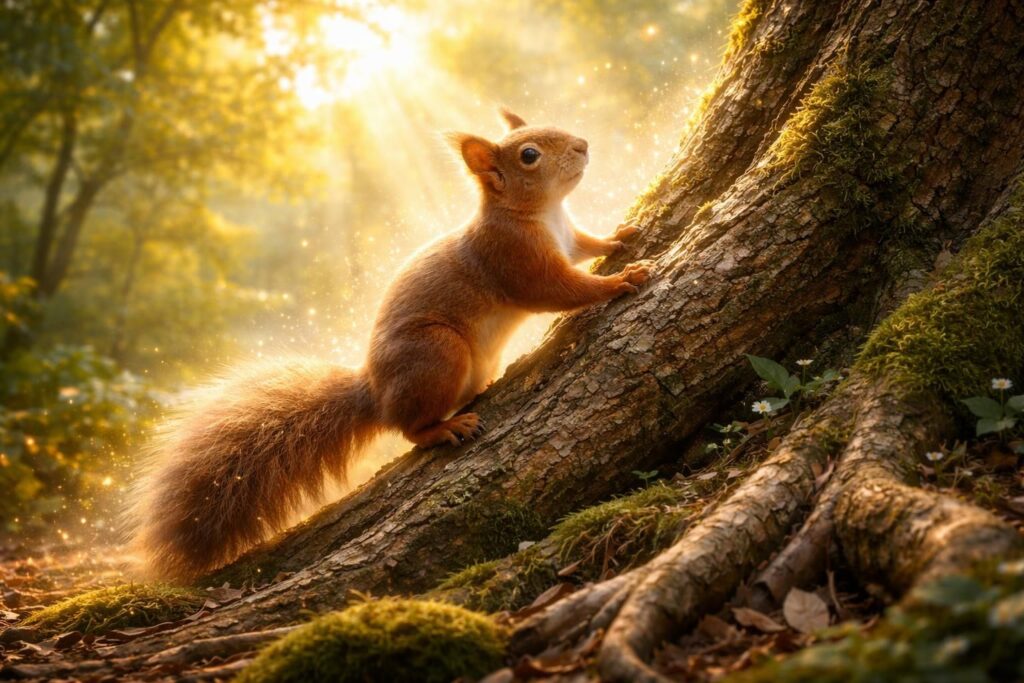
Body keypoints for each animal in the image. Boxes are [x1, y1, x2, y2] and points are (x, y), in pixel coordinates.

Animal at [132, 108, 653, 579]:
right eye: (529, 155)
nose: (583, 145)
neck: (541, 213)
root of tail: (376, 392)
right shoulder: (513, 259)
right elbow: (563, 290)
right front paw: (621, 280)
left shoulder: (568, 238)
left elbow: (586, 245)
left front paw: (621, 236)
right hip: (438, 352)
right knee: (408, 427)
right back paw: (444, 428)